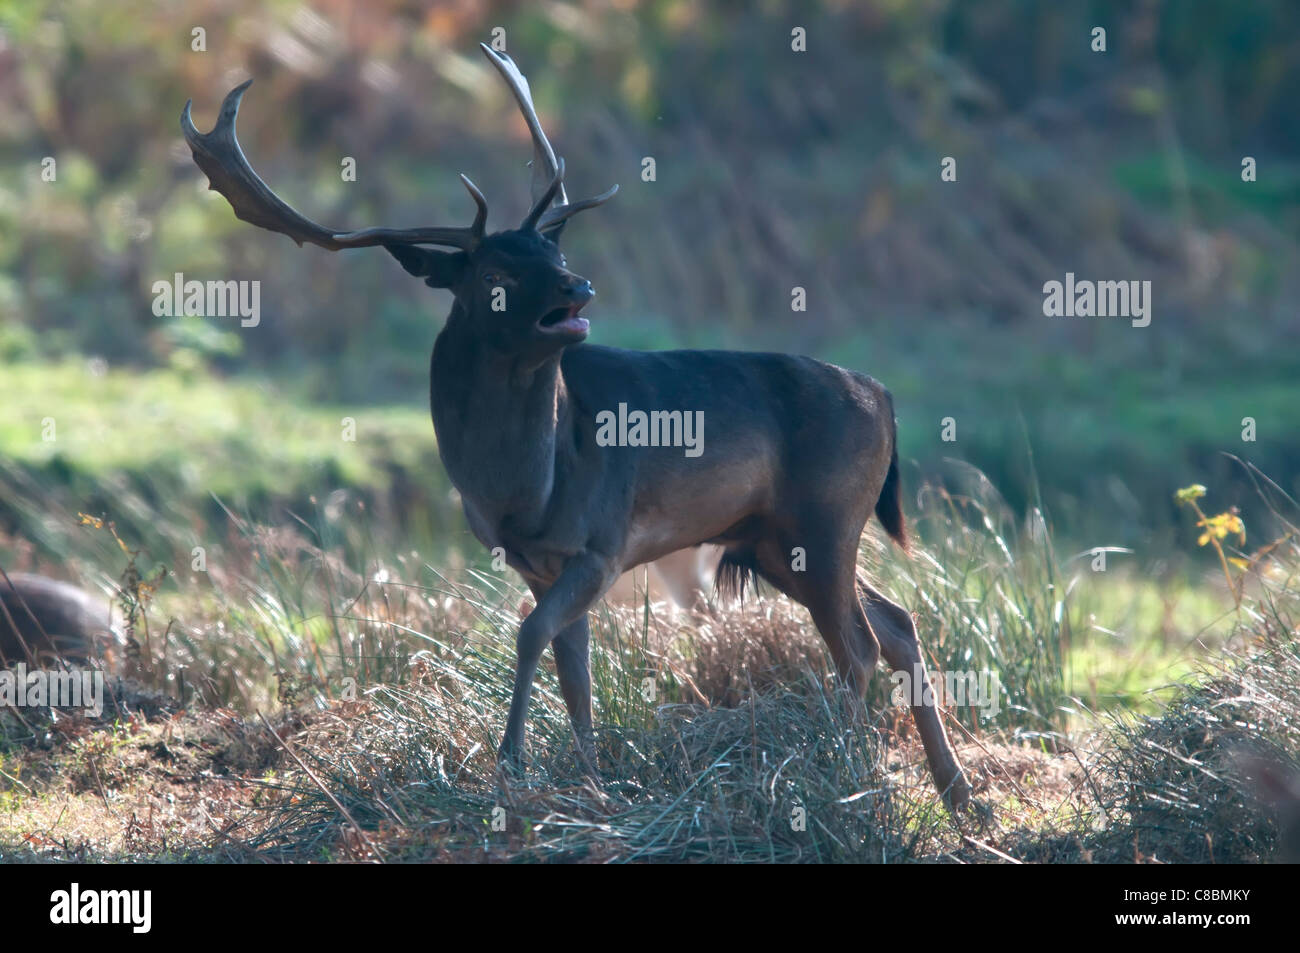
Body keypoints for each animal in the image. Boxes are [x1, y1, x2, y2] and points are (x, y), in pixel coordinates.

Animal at [181, 44, 973, 809]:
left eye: (555, 252)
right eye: (496, 271)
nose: (579, 286)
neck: (523, 486)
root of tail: (884, 397)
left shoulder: (603, 540)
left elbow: (532, 636)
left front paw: (511, 766)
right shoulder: (541, 562)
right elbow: (575, 667)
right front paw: (591, 783)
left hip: (825, 517)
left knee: (858, 645)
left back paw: (849, 771)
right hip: (775, 538)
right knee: (897, 624)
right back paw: (958, 794)